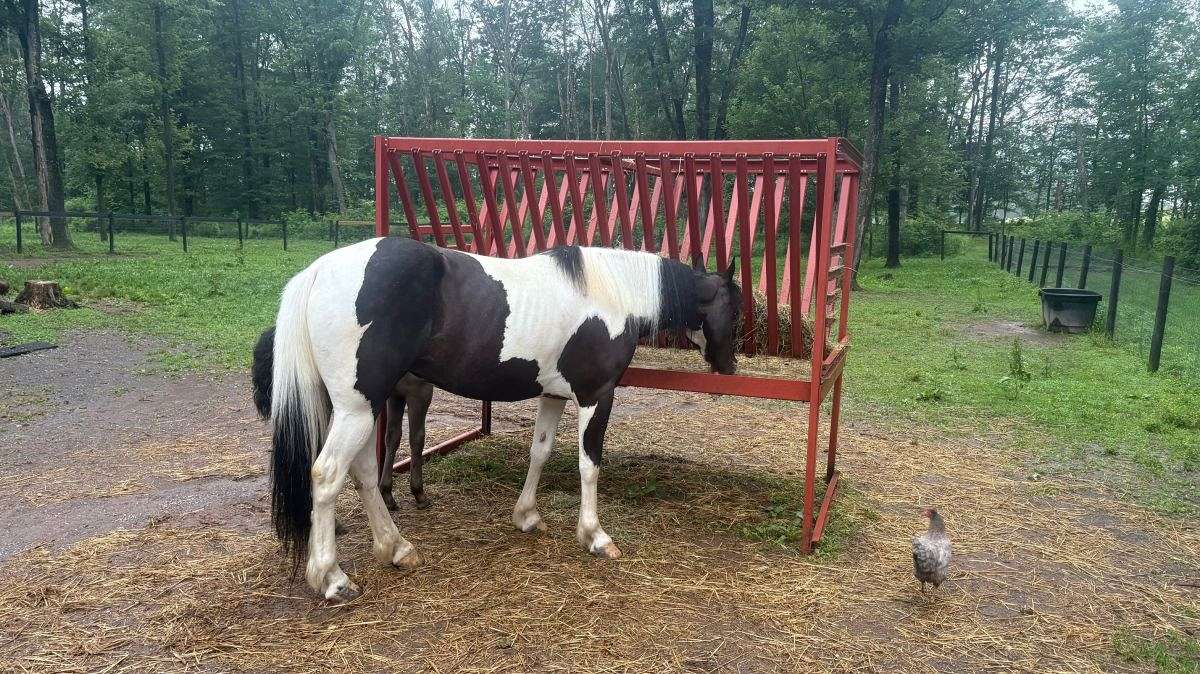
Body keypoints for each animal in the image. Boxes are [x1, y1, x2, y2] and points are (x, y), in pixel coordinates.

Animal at [251, 236, 741, 601]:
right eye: (735, 308)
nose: (729, 367)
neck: (609, 294)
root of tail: (318, 271)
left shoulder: (553, 395)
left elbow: (540, 452)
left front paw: (527, 516)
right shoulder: (595, 398)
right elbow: (589, 465)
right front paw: (595, 536)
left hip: (361, 407)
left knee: (366, 473)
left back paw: (396, 548)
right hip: (358, 407)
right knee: (328, 475)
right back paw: (332, 578)